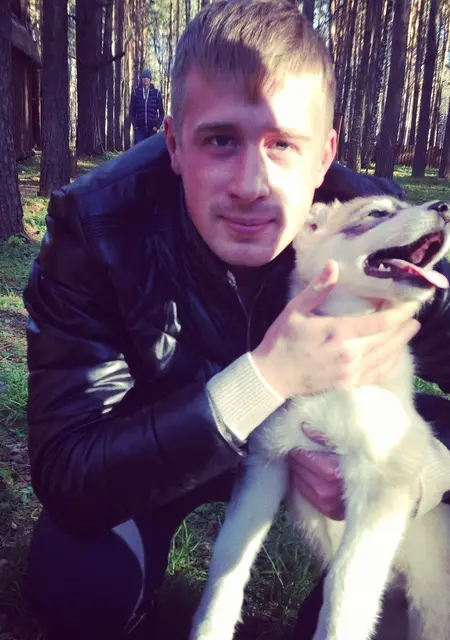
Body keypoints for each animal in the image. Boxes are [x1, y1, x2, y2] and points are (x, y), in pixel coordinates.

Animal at [189, 196, 450, 640]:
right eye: (378, 213)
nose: (445, 205)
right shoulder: (267, 463)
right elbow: (227, 562)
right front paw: (209, 629)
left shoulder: (380, 489)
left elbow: (345, 593)